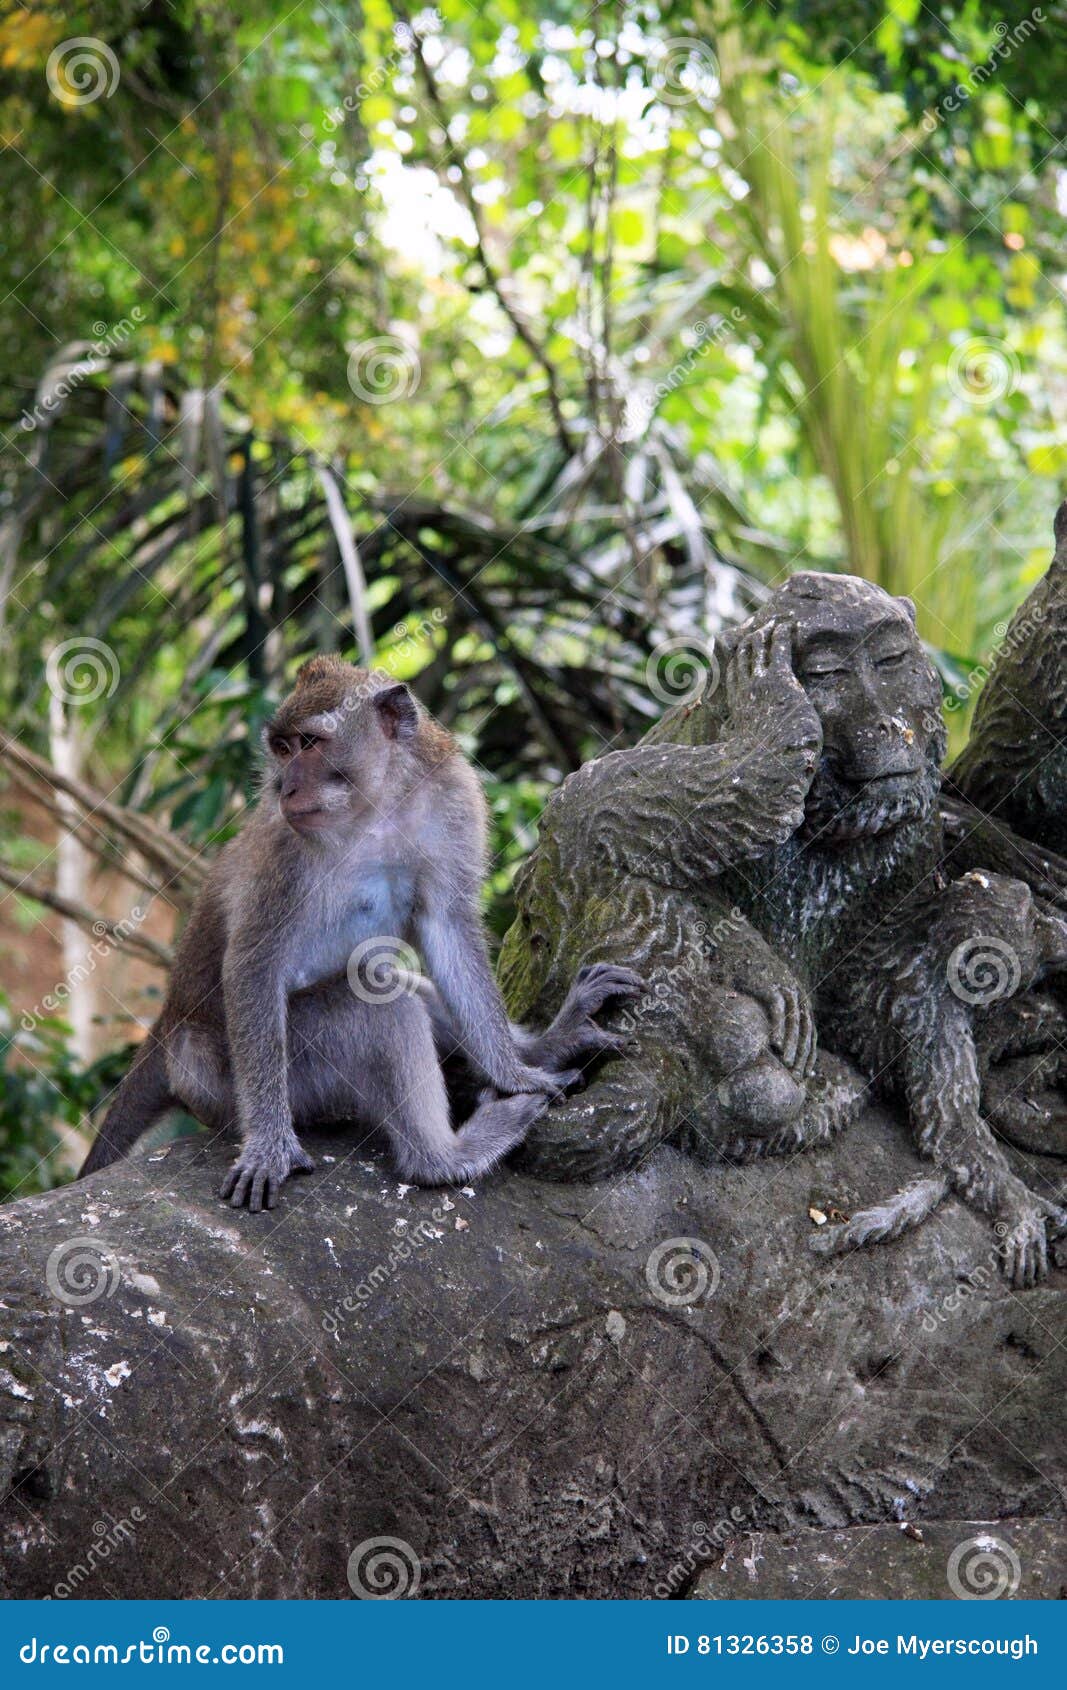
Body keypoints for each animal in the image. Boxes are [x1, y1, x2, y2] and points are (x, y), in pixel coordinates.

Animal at [80, 658, 642, 1209]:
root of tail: (171, 1026)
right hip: (246, 1080)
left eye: (309, 743)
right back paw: (445, 1157)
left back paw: (548, 1045)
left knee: (394, 982)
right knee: (378, 1006)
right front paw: (269, 1147)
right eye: (282, 748)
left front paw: (516, 1071)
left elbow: (448, 929)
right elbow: (254, 963)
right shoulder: (283, 850)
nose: (284, 788)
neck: (376, 808)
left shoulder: (453, 798)